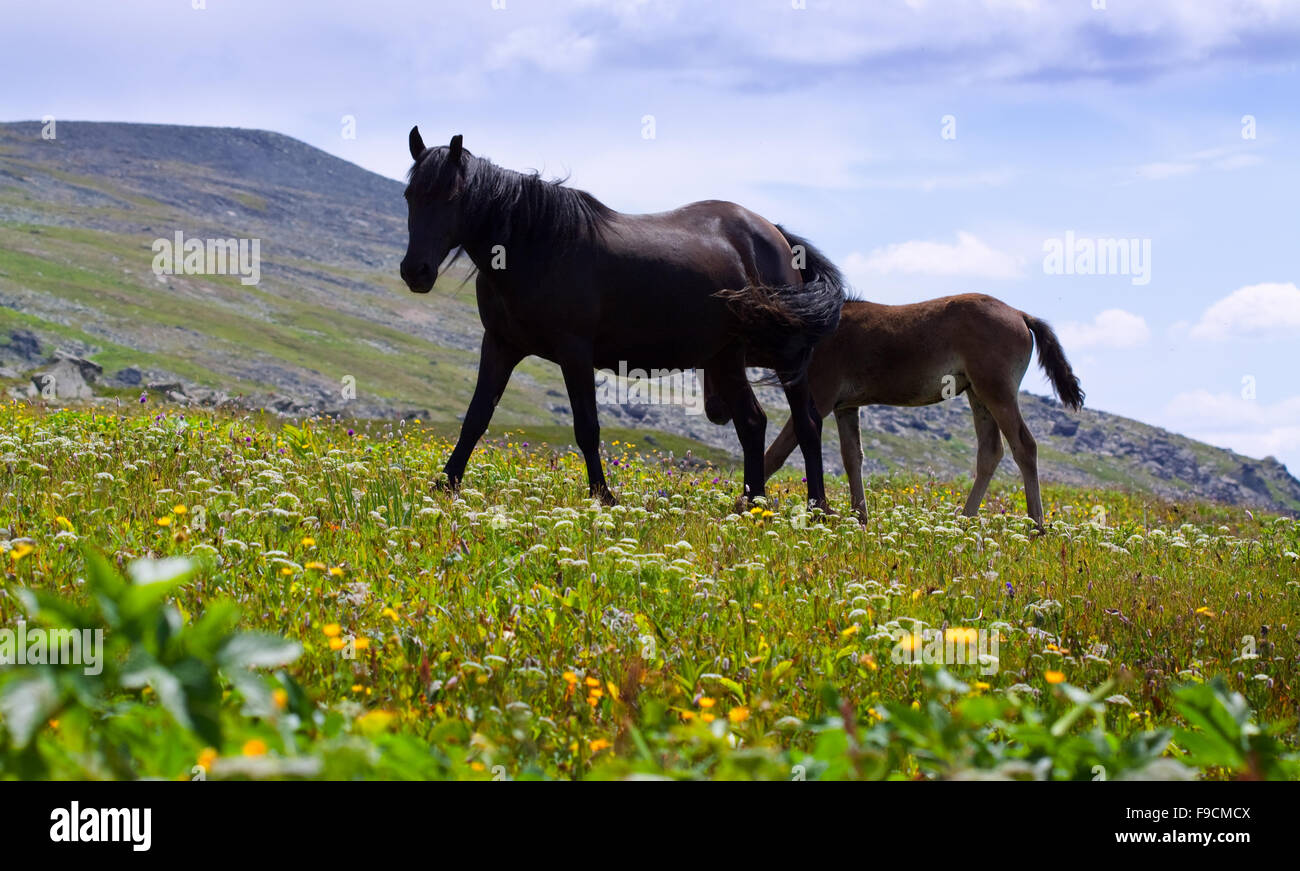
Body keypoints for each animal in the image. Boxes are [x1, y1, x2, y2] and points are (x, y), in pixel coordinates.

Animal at [399, 128, 846, 509]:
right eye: (409, 195)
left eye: (454, 195)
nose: (415, 272)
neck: (536, 245)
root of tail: (777, 236)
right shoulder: (500, 344)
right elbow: (476, 417)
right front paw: (445, 484)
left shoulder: (574, 351)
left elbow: (586, 427)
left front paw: (603, 496)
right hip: (725, 356)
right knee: (752, 423)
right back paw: (752, 505)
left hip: (786, 357)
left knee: (806, 425)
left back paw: (817, 509)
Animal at [763, 294, 1084, 530]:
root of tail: (1019, 314)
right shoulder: (846, 407)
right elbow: (852, 457)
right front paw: (860, 518)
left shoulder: (821, 396)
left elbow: (776, 453)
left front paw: (751, 503)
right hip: (978, 394)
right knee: (991, 451)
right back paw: (965, 521)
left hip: (997, 391)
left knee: (1024, 446)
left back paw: (1036, 526)